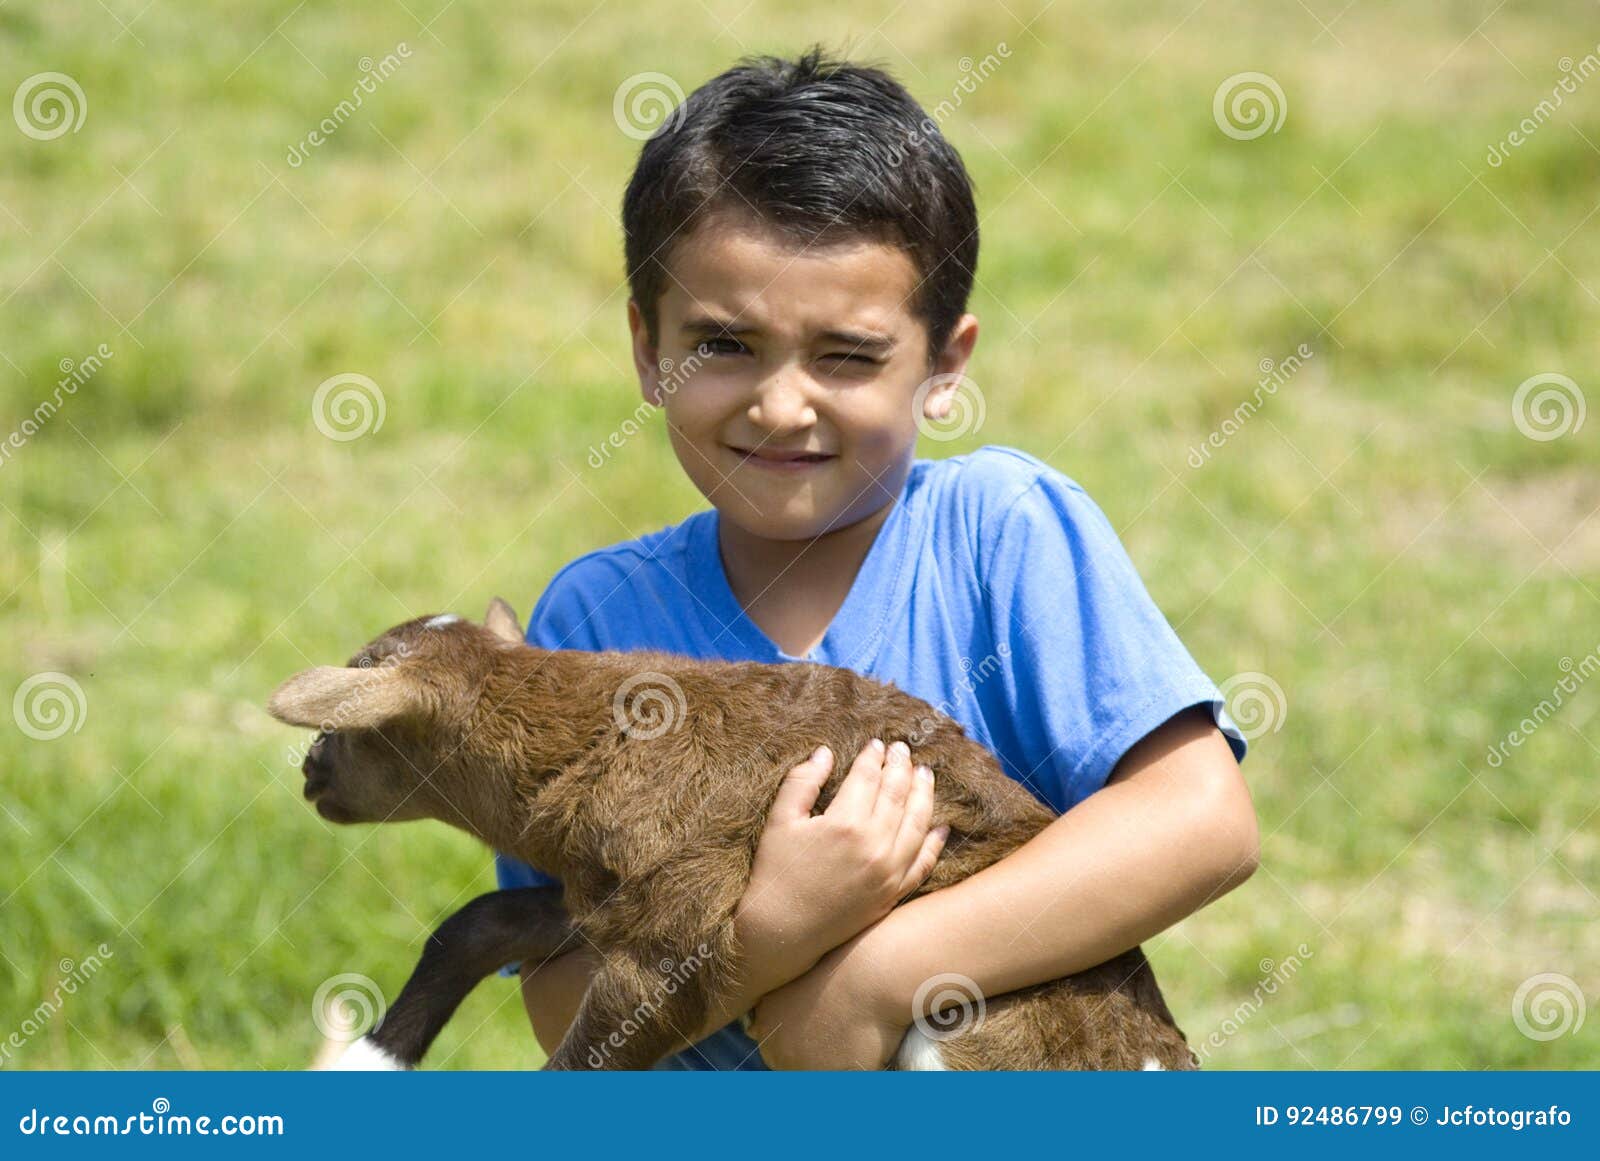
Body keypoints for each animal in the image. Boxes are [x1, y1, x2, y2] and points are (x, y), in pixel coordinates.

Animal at [266, 598, 1199, 1071]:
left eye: (346, 727)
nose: (308, 771)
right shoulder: (604, 895)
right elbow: (475, 924)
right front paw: (371, 1054)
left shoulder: (677, 931)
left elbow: (588, 1056)